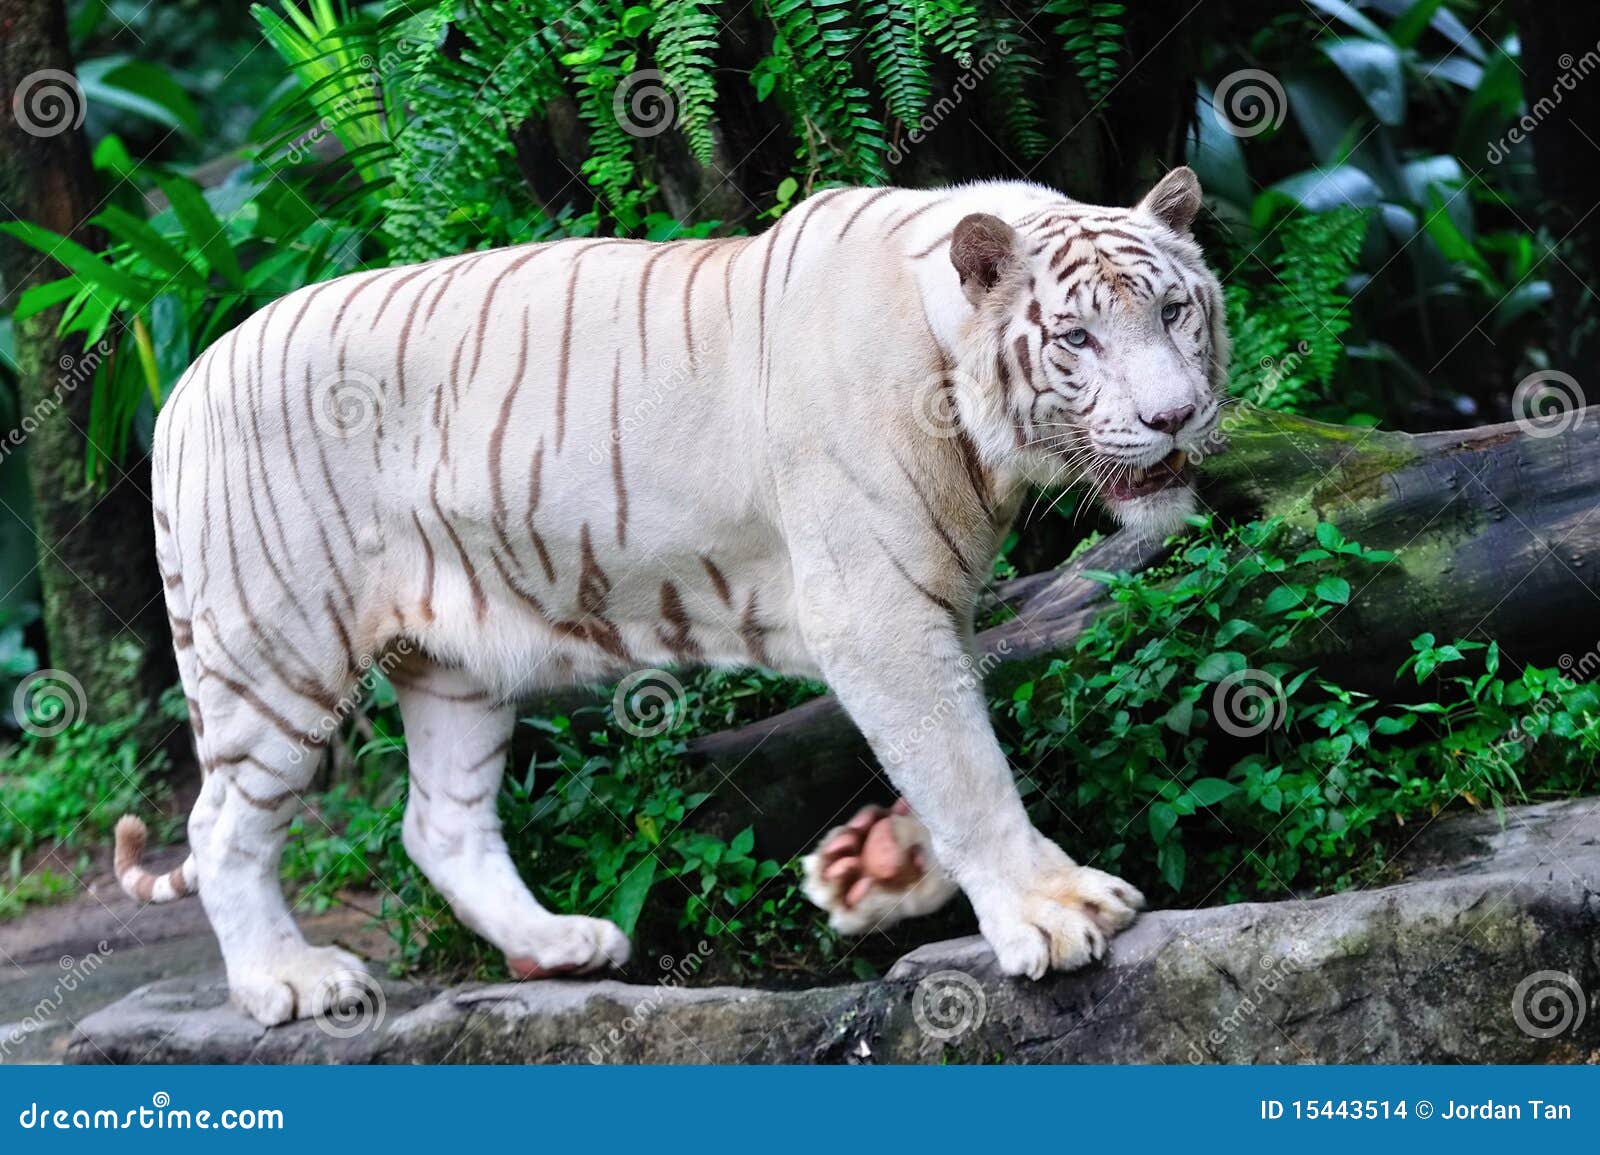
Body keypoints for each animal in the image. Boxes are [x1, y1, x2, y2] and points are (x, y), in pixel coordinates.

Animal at [114, 167, 1227, 1026]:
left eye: (1174, 310)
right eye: (1076, 339)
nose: (1176, 416)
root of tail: (184, 383)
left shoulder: (931, 608)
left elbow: (944, 758)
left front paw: (877, 872)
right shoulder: (876, 612)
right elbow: (967, 767)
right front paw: (1053, 912)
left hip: (456, 663)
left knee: (439, 822)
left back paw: (557, 944)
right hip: (278, 653)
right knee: (222, 831)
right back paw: (289, 982)